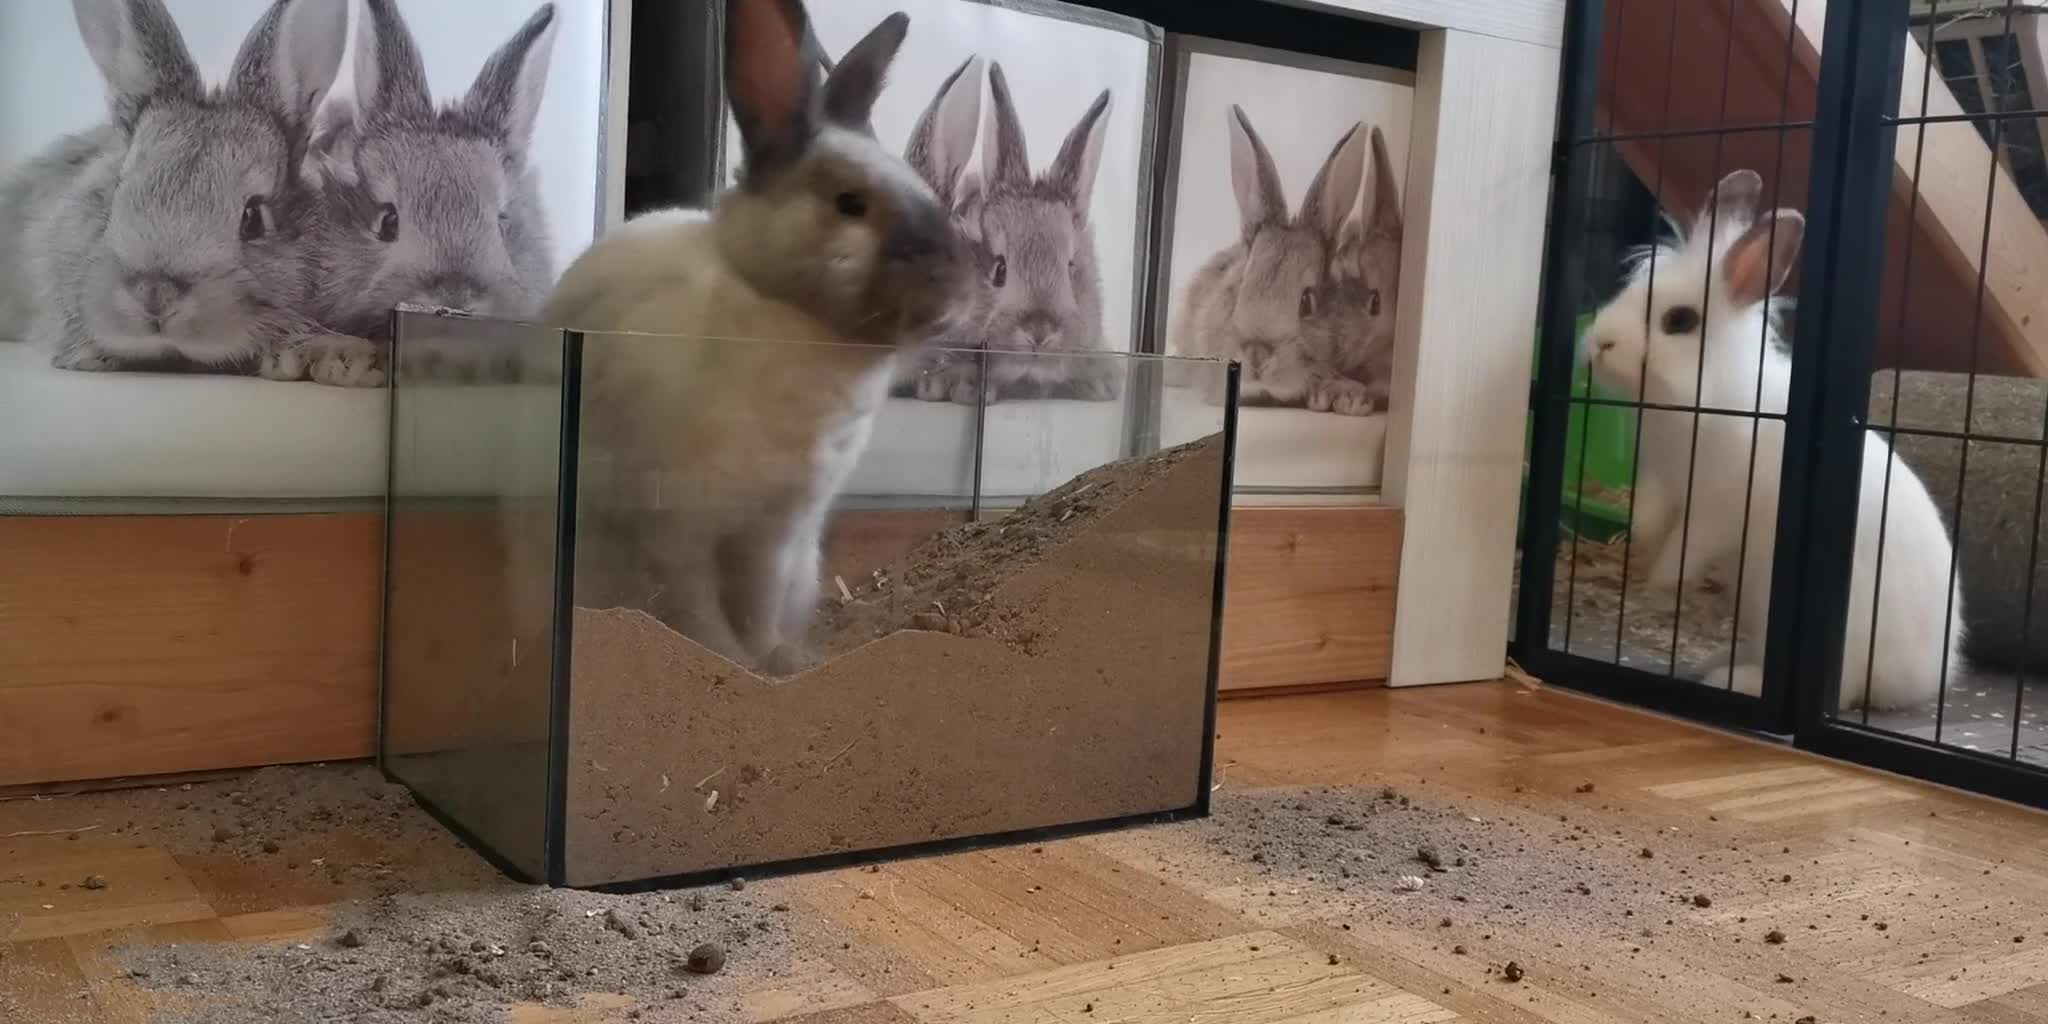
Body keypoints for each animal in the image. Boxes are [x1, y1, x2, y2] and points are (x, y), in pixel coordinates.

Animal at [528, 0, 974, 675]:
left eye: (928, 193)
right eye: (850, 203)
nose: (963, 283)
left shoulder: (776, 535)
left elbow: (755, 604)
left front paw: (778, 663)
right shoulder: (674, 527)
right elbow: (694, 611)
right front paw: (728, 662)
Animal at [1585, 168, 1967, 713]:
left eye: (1679, 321)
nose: (1600, 342)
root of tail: (1929, 678)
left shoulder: (1717, 508)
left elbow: (1688, 546)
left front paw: (1661, 580)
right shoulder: (1661, 481)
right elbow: (1651, 520)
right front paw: (1641, 550)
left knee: (1842, 690)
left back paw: (1734, 680)